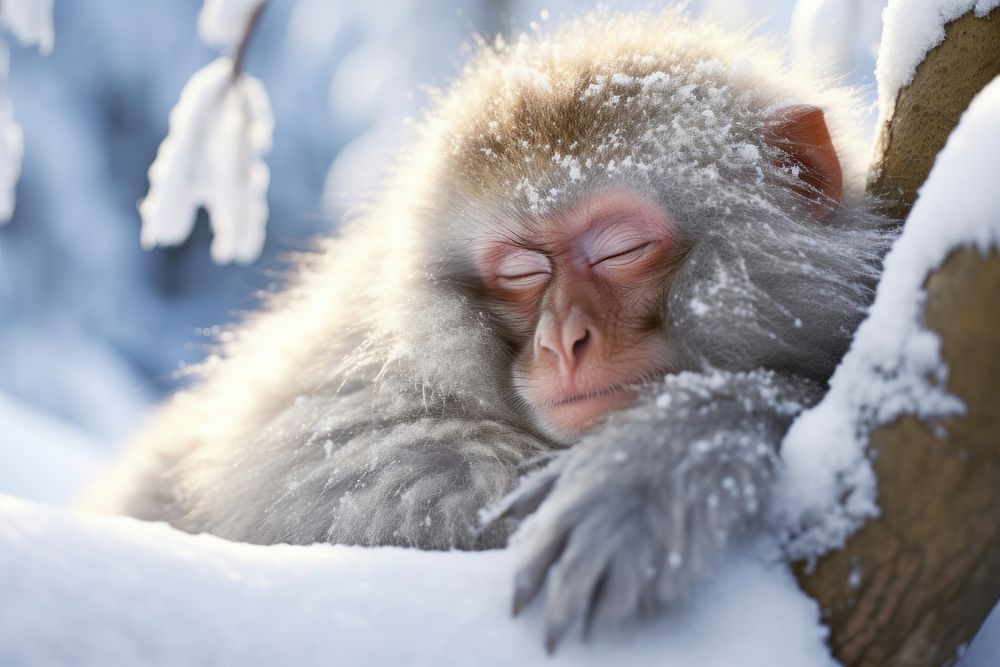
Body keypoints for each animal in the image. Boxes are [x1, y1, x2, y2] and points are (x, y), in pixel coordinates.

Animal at [84, 10, 893, 651]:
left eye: (620, 250)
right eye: (523, 271)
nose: (561, 343)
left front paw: (660, 453)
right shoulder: (345, 416)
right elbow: (425, 507)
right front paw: (664, 456)